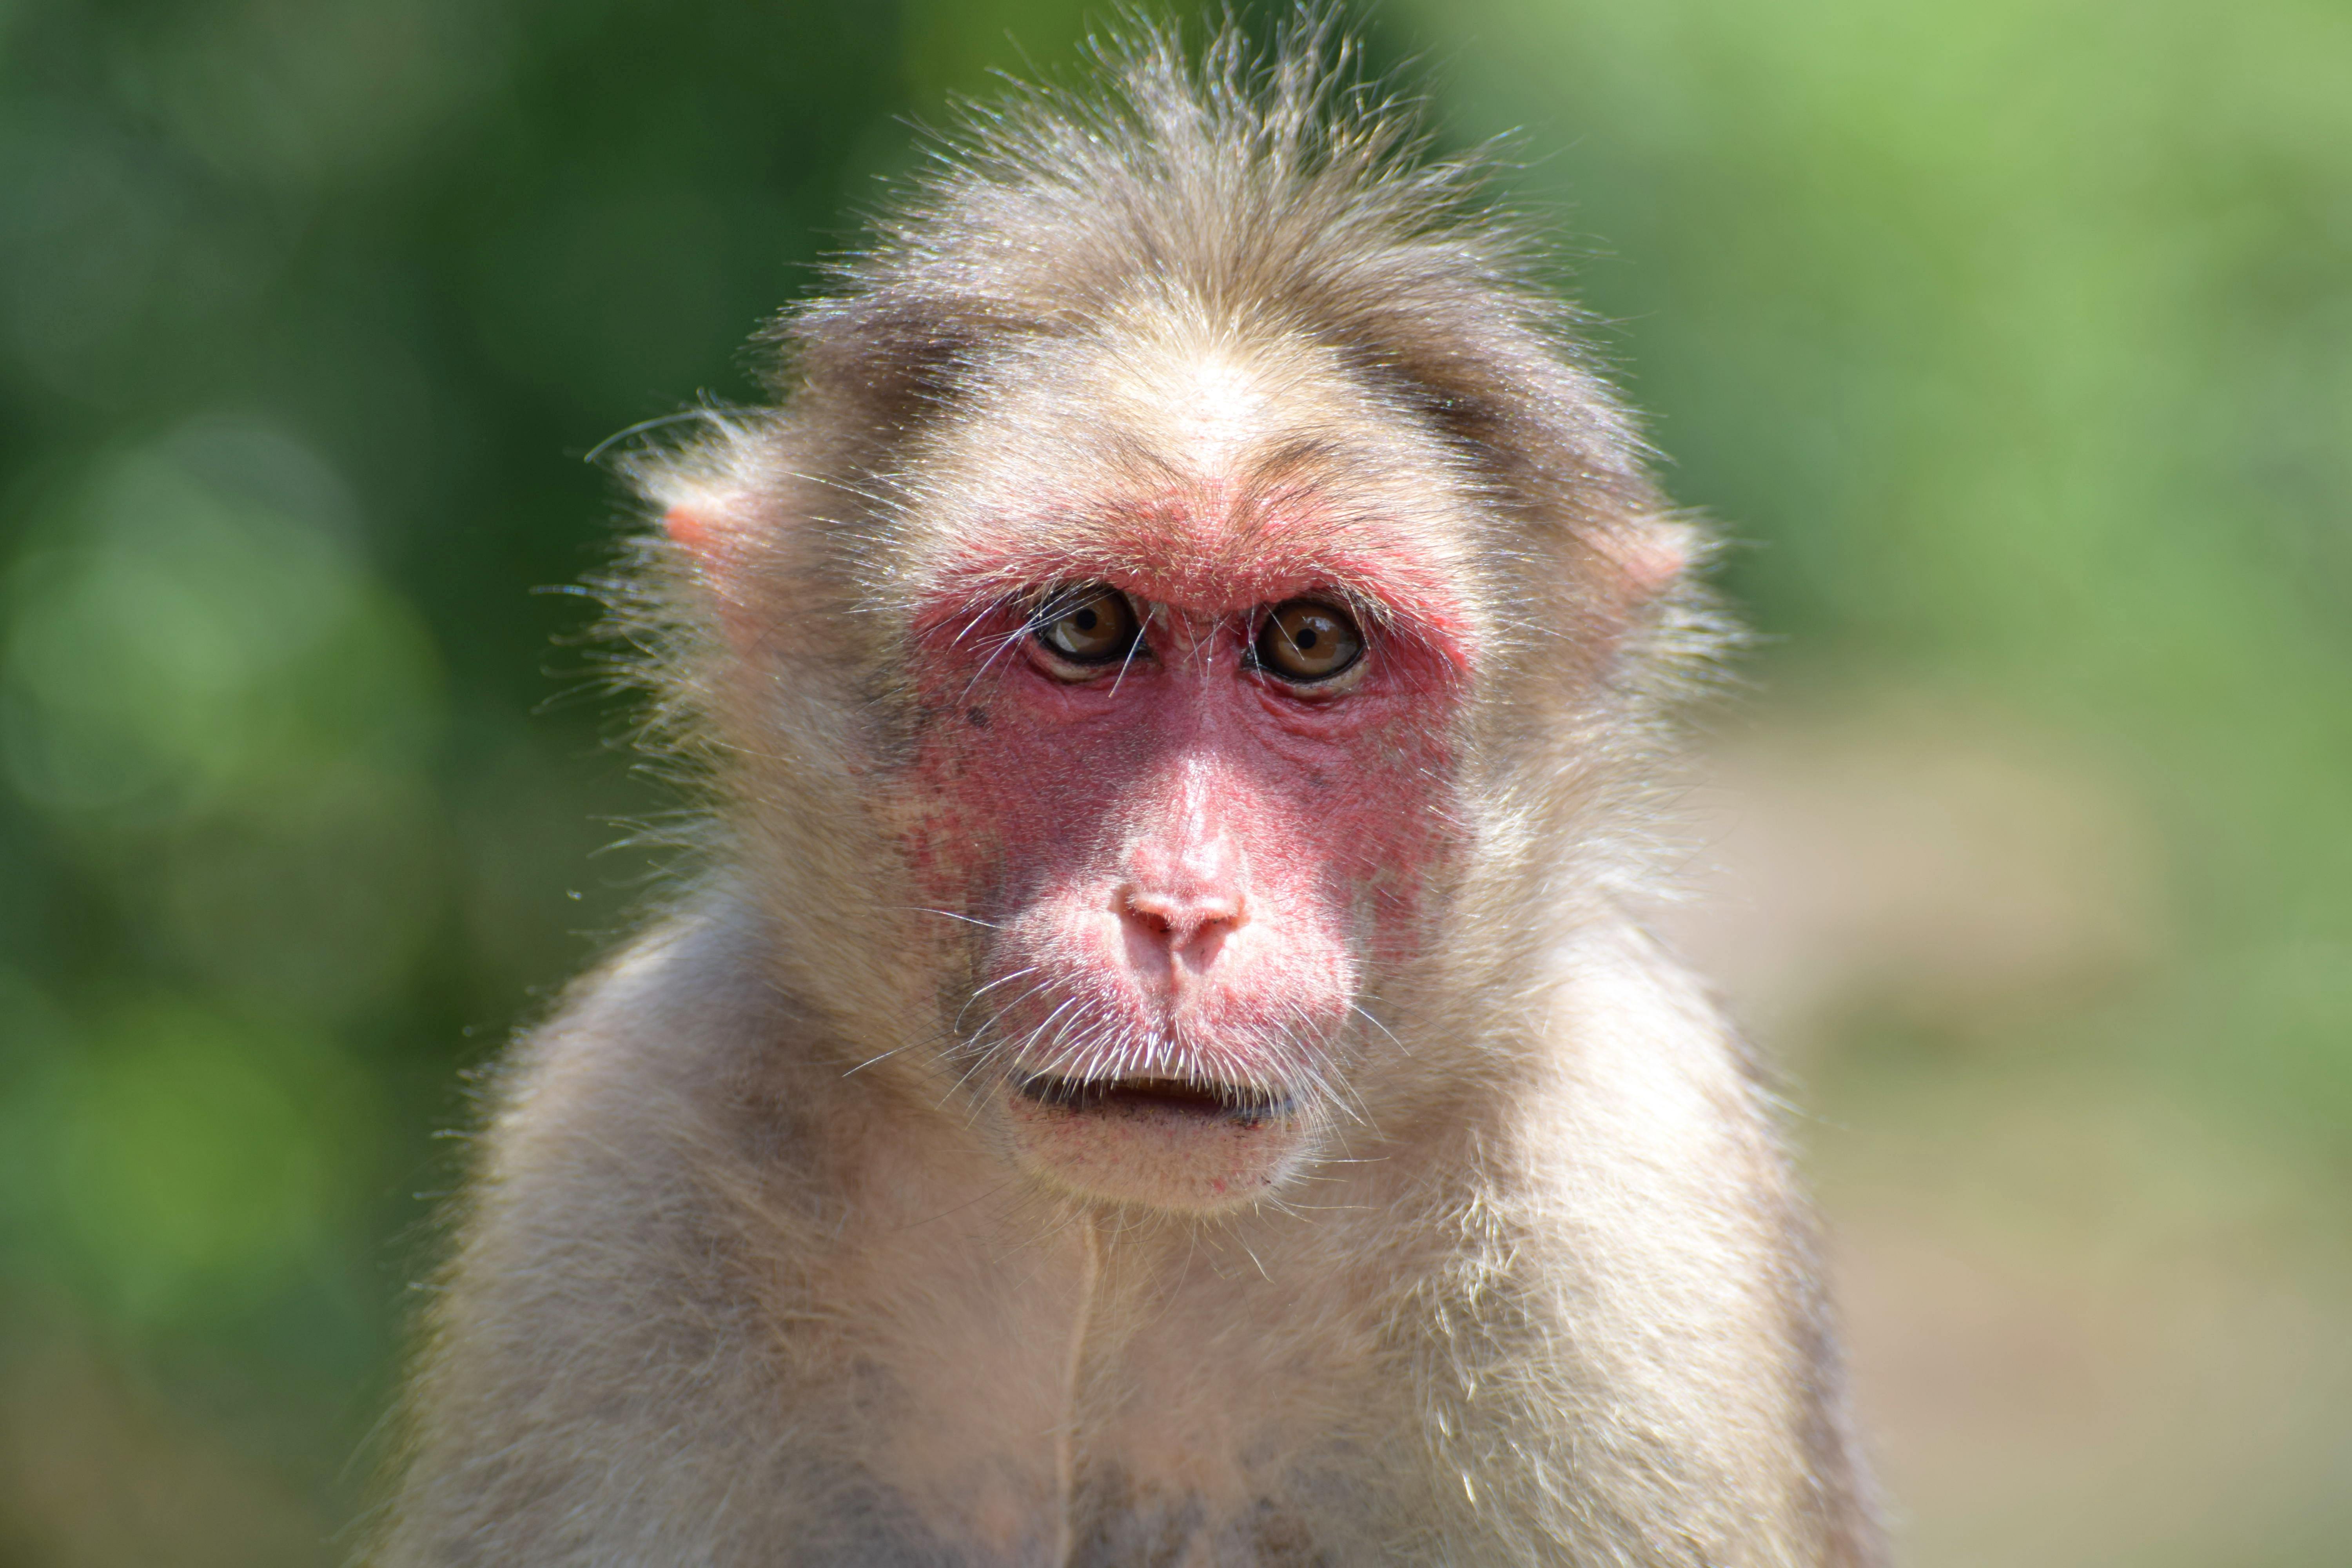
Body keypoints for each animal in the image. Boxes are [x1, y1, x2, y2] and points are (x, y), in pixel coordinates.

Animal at [376, 17, 1883, 1567]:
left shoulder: (1624, 1225)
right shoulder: (617, 1156)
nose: (1179, 906)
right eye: (1087, 627)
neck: (1114, 1240)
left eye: (1311, 641)